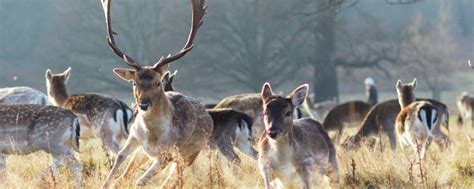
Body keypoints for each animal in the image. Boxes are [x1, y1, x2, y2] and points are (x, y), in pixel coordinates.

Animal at [100, 0, 213, 187]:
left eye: (158, 82)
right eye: (134, 82)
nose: (143, 104)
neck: (152, 135)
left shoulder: (167, 154)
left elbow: (140, 181)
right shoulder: (134, 136)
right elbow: (120, 157)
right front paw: (106, 183)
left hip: (189, 154)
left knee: (176, 180)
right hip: (143, 153)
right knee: (129, 173)